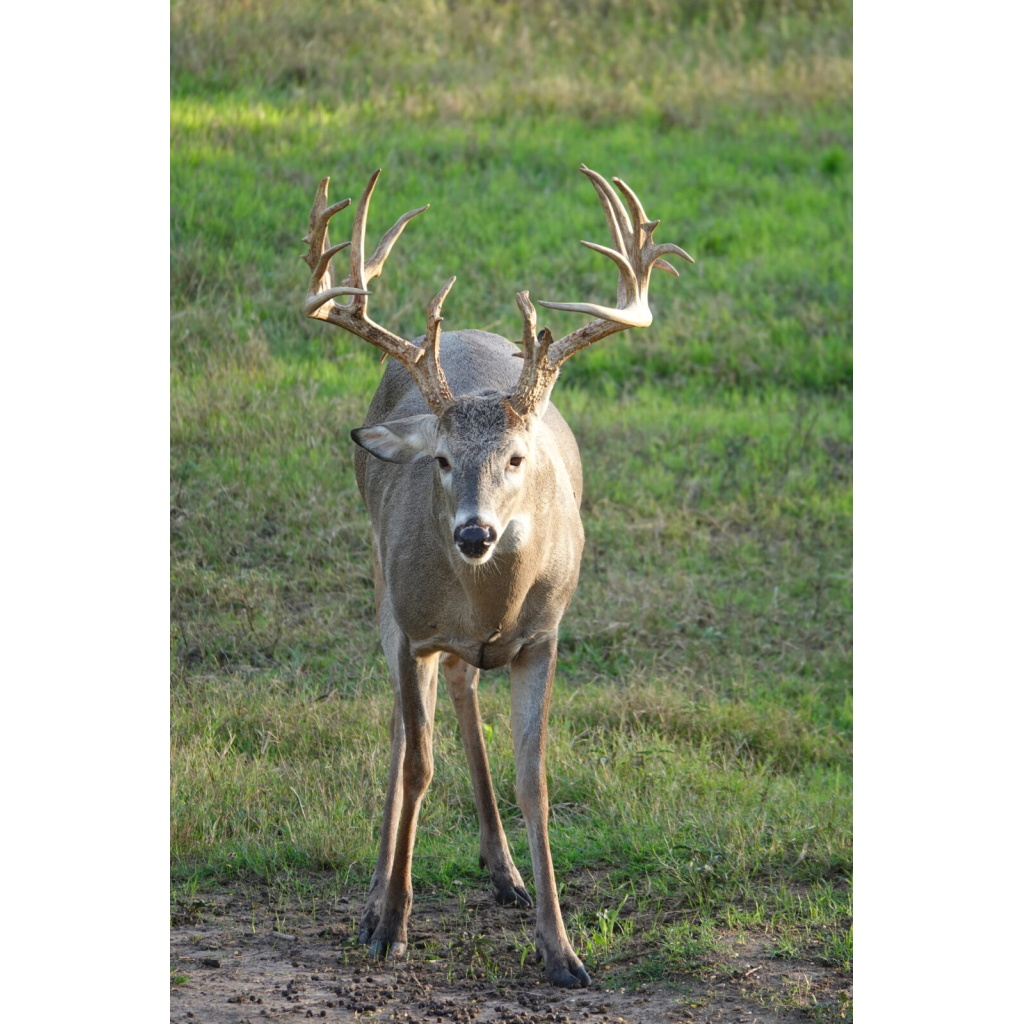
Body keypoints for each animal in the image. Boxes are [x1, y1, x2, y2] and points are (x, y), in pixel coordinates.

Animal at [300, 165, 693, 988]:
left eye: (517, 457)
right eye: (444, 460)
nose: (473, 533)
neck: (488, 605)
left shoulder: (543, 637)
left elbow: (533, 781)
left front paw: (562, 950)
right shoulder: (412, 627)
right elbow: (418, 763)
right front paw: (392, 922)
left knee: (461, 684)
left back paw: (501, 868)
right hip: (381, 589)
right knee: (404, 728)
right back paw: (376, 898)